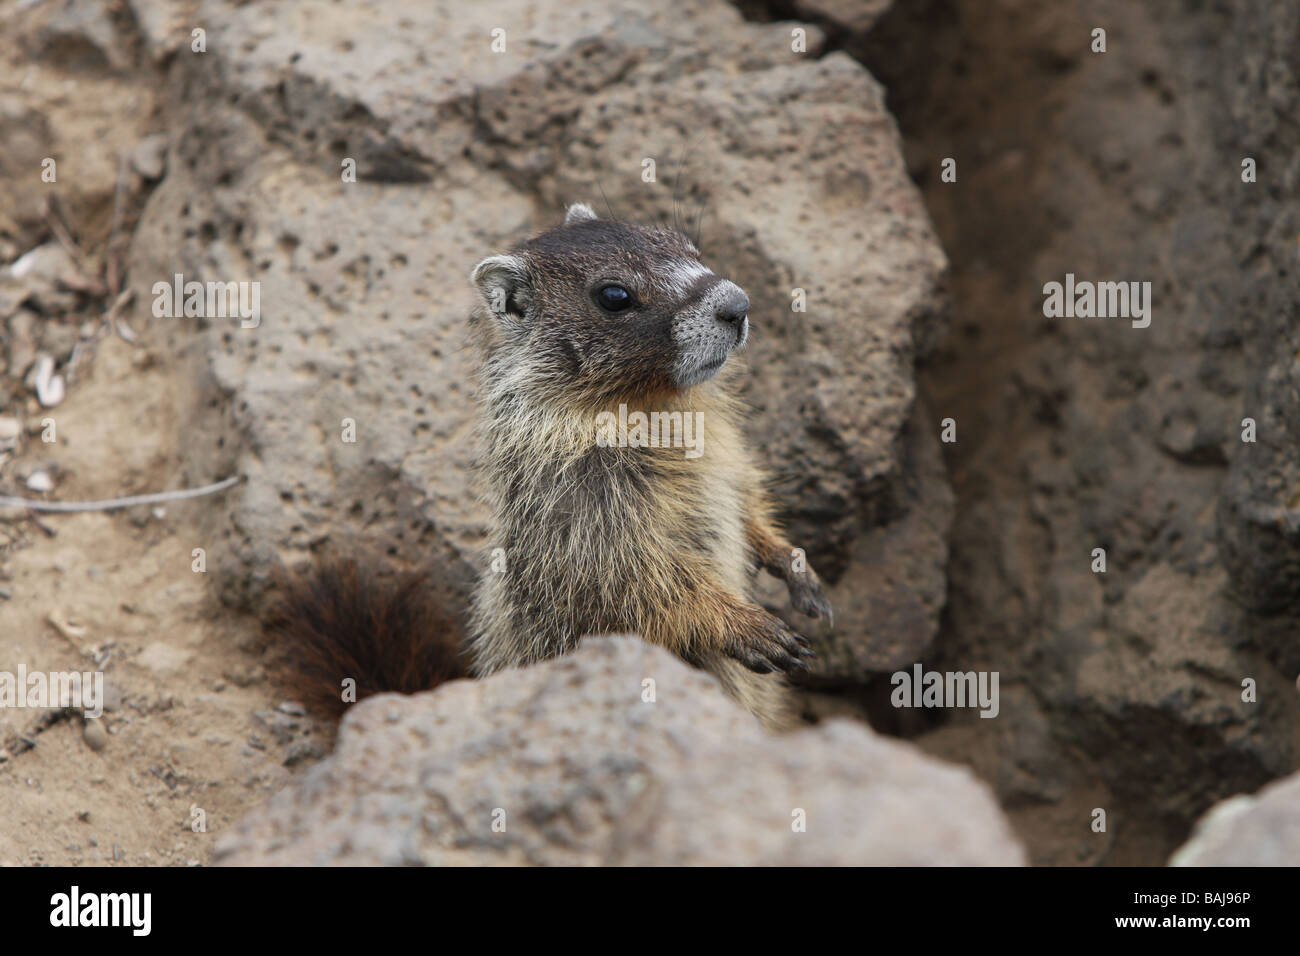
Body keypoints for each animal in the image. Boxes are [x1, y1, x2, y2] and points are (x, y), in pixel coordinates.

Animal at [271, 203, 832, 730]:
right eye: (613, 296)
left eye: (686, 243)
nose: (738, 306)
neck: (656, 406)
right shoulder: (573, 486)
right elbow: (620, 568)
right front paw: (755, 629)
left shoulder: (723, 443)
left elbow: (745, 490)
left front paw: (798, 571)